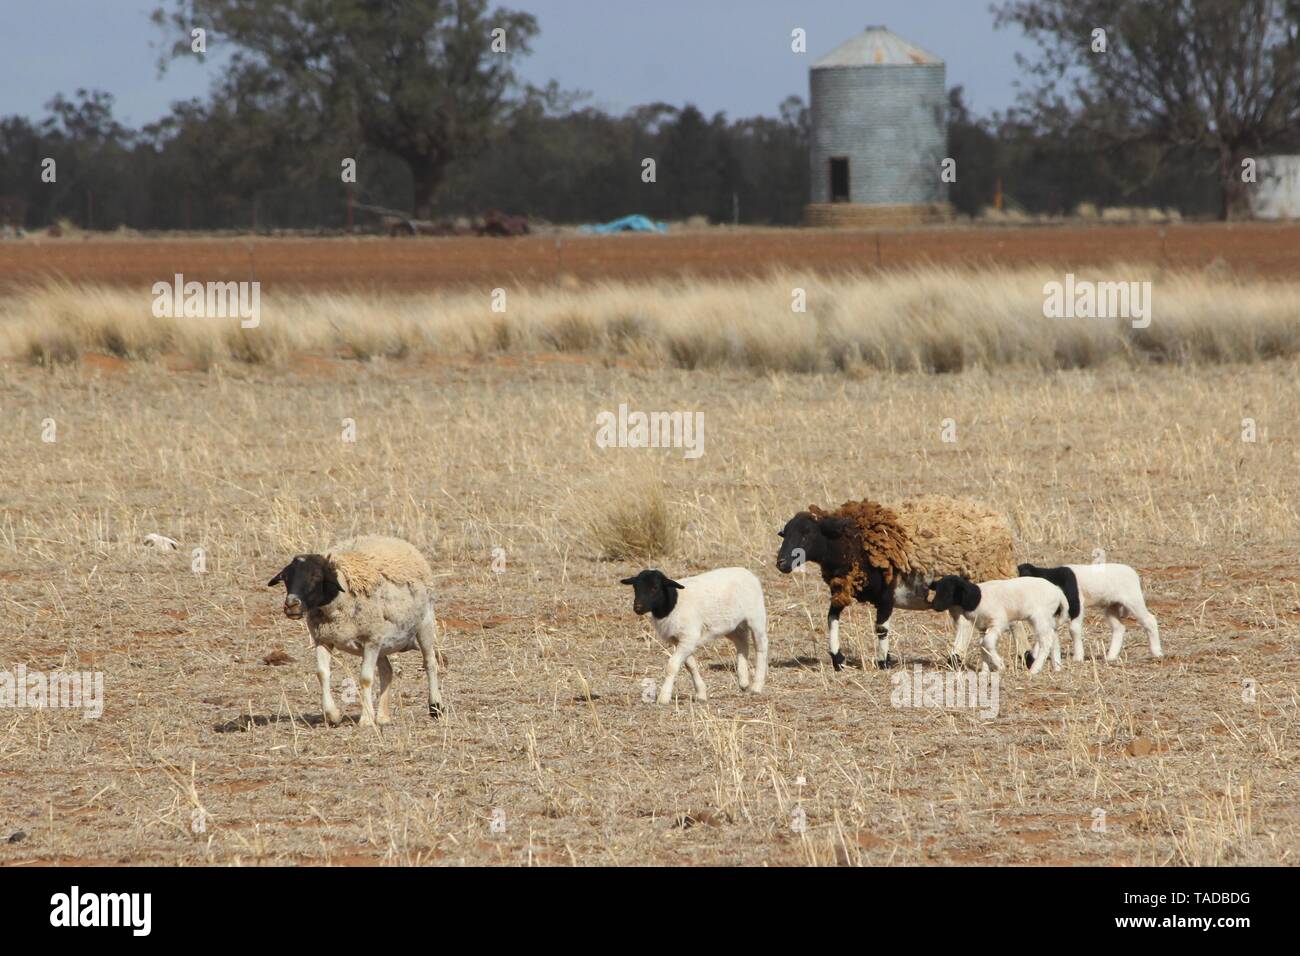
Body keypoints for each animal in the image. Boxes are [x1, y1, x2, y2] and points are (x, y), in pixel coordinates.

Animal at [267, 535, 442, 726]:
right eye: (286, 578)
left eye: (316, 576)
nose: (291, 605)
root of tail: (398, 541)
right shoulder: (324, 639)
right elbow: (322, 673)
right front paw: (333, 715)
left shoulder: (371, 639)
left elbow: (365, 678)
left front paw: (366, 720)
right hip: (382, 642)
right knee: (387, 671)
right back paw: (382, 716)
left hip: (424, 624)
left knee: (430, 662)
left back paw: (435, 706)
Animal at [619, 567, 768, 704]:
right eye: (635, 587)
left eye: (655, 588)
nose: (638, 608)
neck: (672, 605)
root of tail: (747, 572)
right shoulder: (680, 640)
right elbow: (691, 666)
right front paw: (701, 693)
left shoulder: (688, 638)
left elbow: (672, 666)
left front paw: (664, 697)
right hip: (732, 625)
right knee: (742, 642)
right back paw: (743, 682)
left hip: (756, 617)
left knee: (761, 646)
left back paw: (757, 686)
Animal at [775, 494, 1017, 670]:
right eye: (785, 534)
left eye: (806, 534)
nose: (782, 563)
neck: (854, 542)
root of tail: (1000, 523)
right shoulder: (843, 589)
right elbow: (831, 618)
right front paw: (838, 659)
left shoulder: (886, 595)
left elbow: (881, 628)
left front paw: (883, 662)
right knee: (966, 625)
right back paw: (955, 660)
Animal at [927, 575, 1070, 674]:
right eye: (937, 590)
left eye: (949, 591)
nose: (935, 606)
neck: (977, 599)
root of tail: (1058, 592)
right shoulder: (983, 626)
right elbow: (982, 644)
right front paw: (985, 671)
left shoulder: (998, 623)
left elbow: (987, 642)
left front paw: (1000, 665)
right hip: (1049, 618)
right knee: (1054, 637)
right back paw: (1057, 667)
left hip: (1040, 617)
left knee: (1046, 641)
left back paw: (1035, 669)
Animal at [1017, 562, 1161, 662]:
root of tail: (1133, 573)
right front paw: (1033, 655)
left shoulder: (1076, 604)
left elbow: (1073, 629)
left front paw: (1078, 657)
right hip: (1111, 605)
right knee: (1119, 627)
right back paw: (1110, 656)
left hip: (1133, 599)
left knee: (1149, 620)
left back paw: (1157, 652)